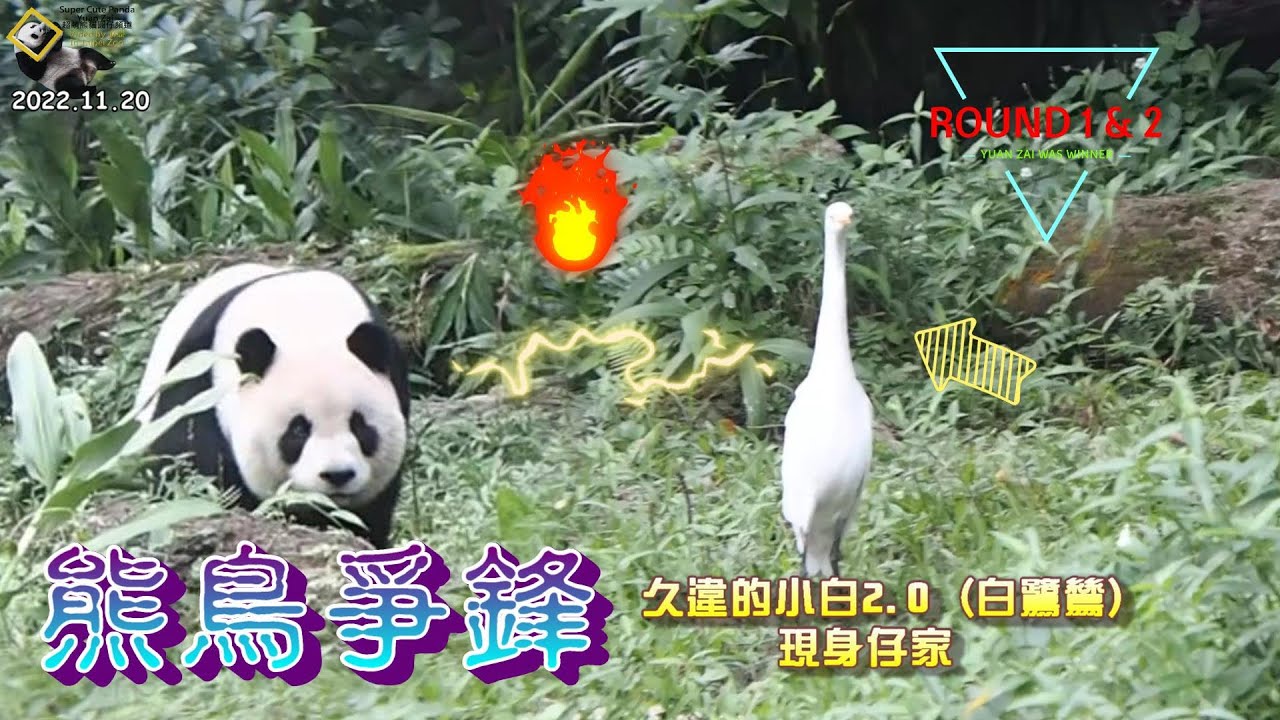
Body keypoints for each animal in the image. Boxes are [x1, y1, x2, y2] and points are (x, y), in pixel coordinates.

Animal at [133, 262, 411, 549]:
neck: (305, 323)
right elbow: (190, 459)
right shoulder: (199, 381)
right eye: (298, 430)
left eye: (359, 425)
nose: (338, 475)